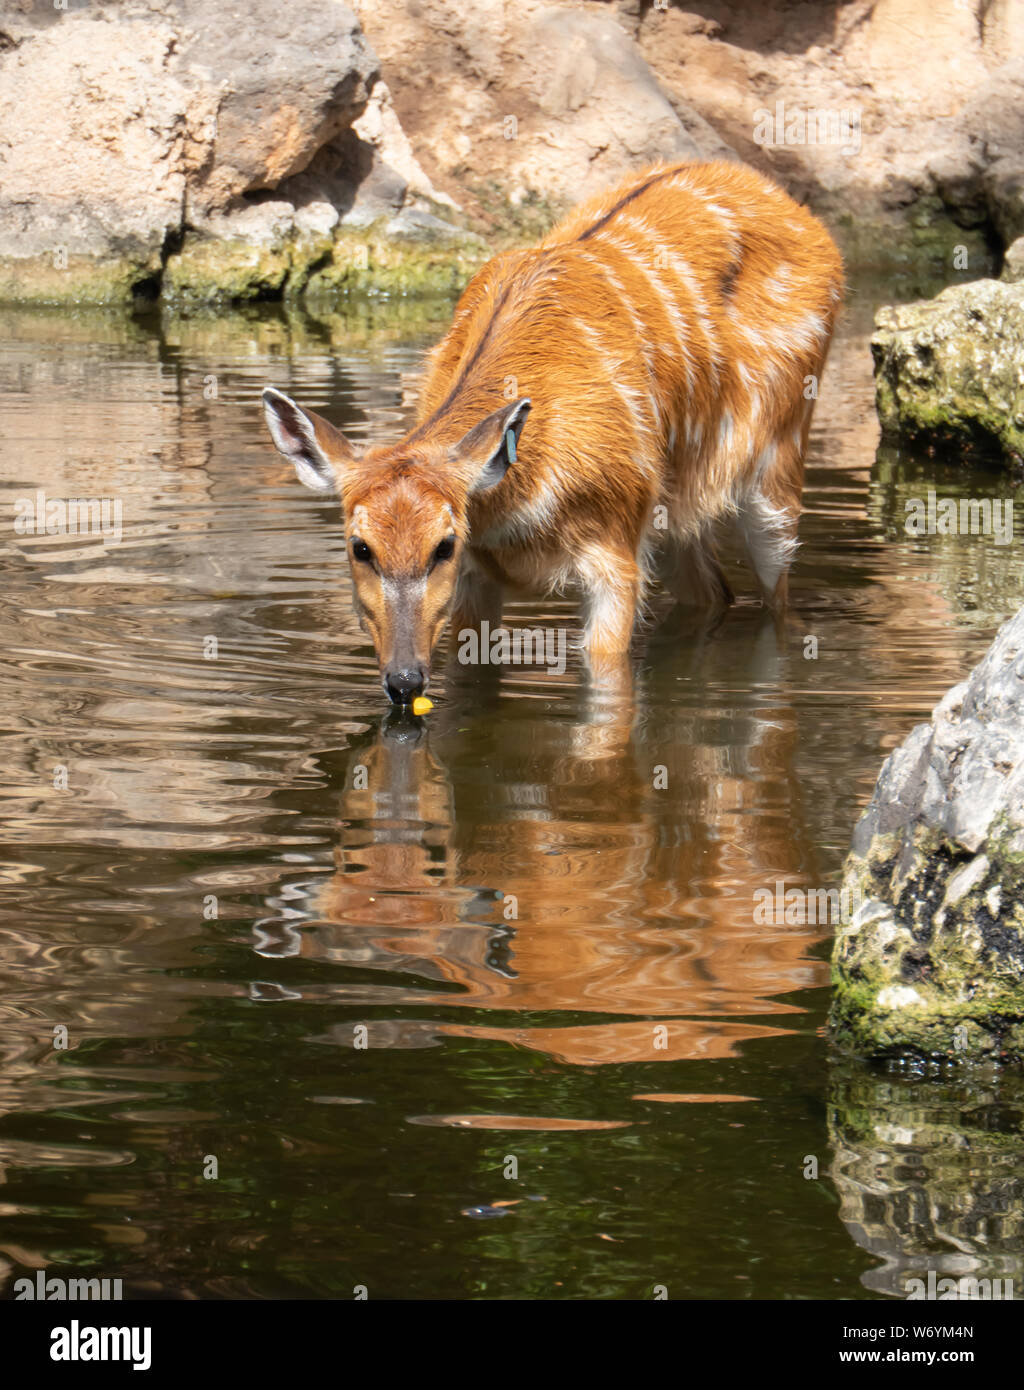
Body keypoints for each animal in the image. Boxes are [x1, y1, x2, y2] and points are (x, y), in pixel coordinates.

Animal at [262, 159, 844, 704]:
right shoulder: (480, 576)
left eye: (443, 545)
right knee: (713, 589)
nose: (404, 680)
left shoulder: (614, 556)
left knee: (775, 594)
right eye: (360, 547)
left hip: (781, 457)